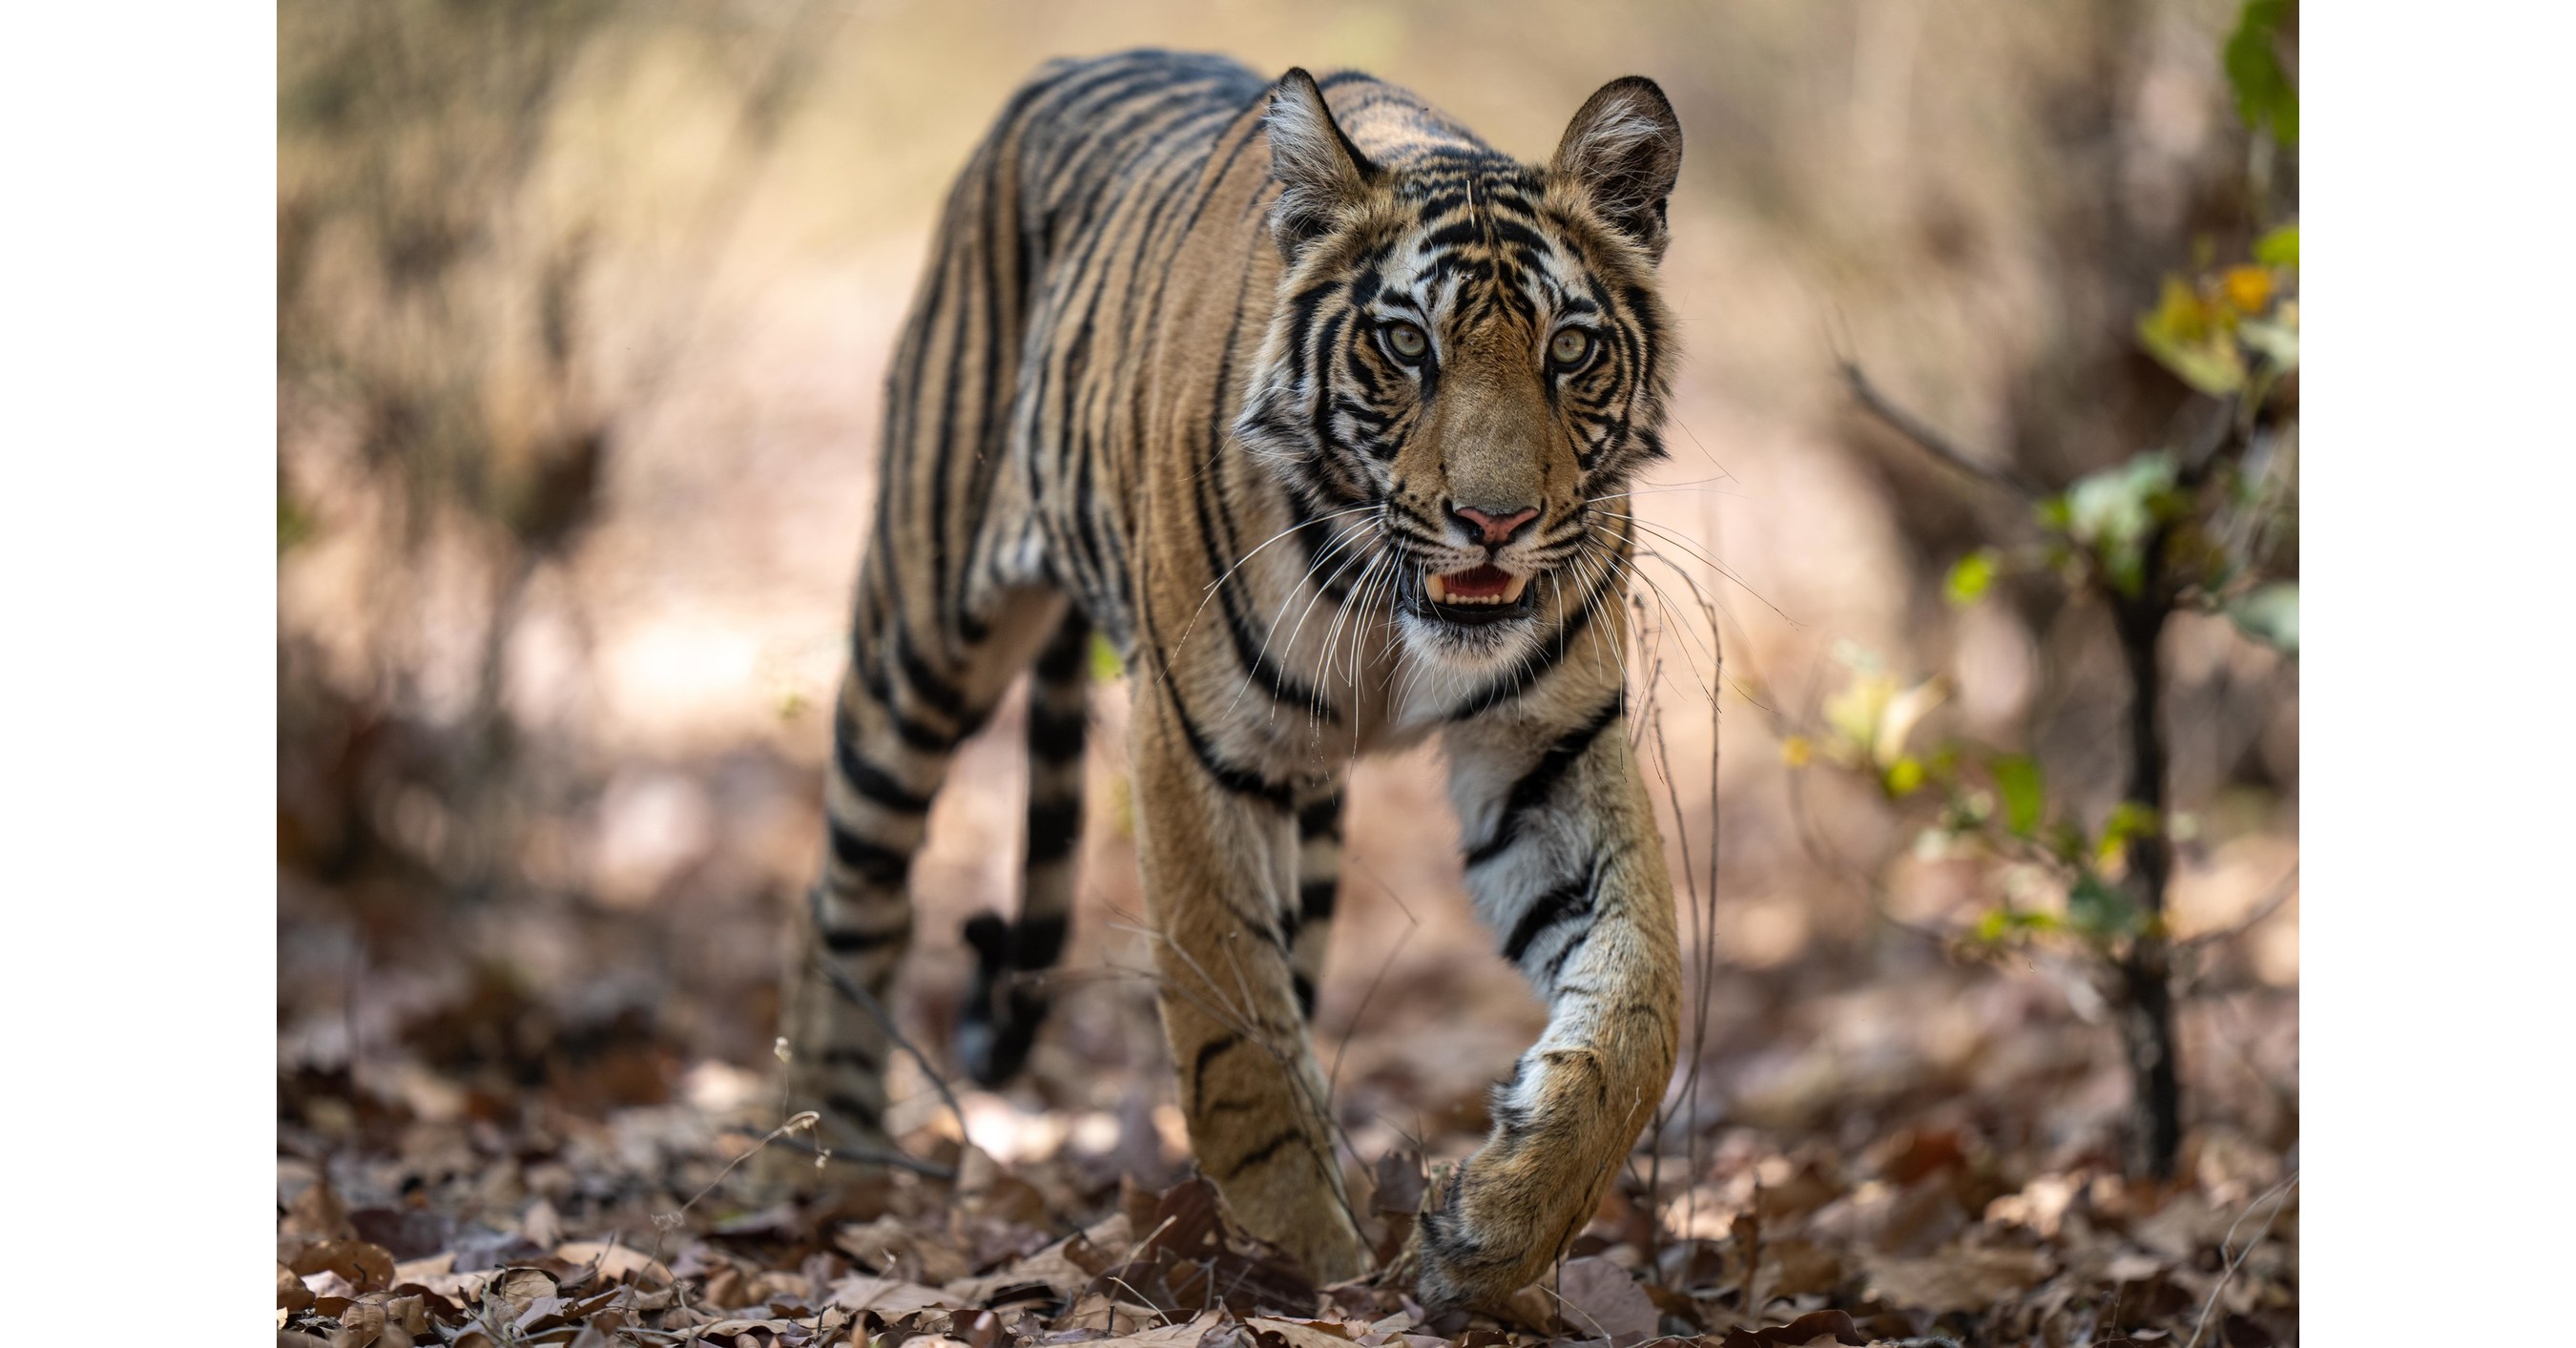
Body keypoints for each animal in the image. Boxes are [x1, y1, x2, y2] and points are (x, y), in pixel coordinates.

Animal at [778, 48, 1685, 1311]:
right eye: (1408, 346)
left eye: (1569, 349)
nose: (1495, 522)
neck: (1392, 617)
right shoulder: (1195, 746)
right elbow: (1235, 1036)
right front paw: (1304, 1267)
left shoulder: (1548, 746)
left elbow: (1640, 997)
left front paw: (1497, 1226)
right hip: (920, 636)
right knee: (849, 893)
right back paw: (836, 1169)